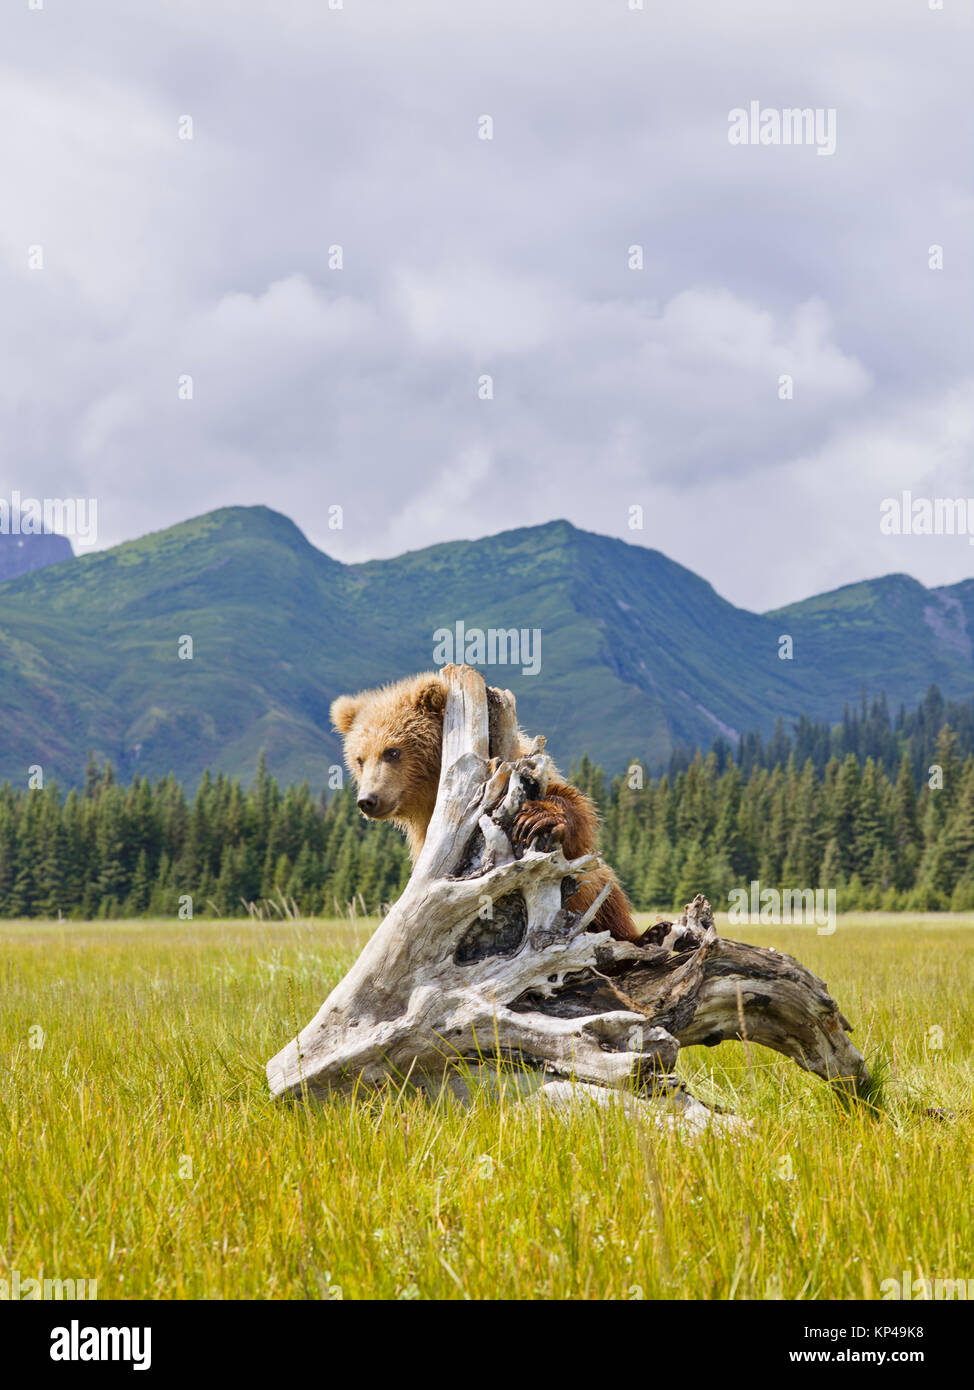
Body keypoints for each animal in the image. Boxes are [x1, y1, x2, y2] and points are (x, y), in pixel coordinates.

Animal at [330, 670, 643, 943]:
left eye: (392, 751)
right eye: (359, 758)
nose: (368, 799)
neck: (434, 795)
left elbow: (573, 811)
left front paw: (537, 818)